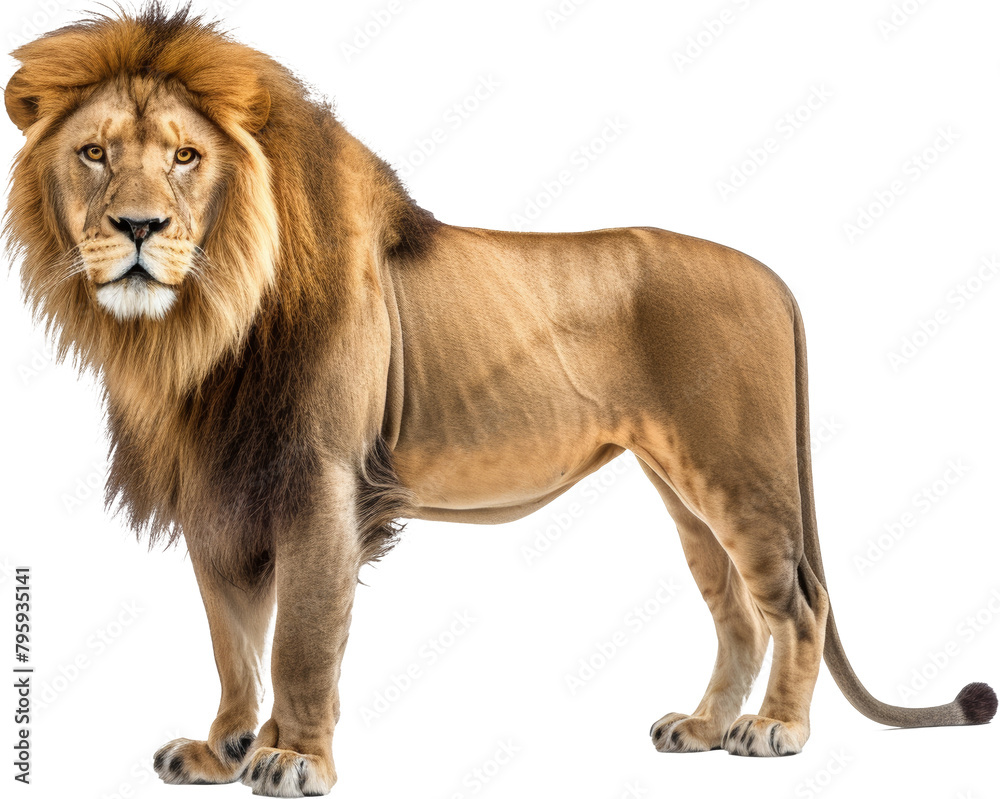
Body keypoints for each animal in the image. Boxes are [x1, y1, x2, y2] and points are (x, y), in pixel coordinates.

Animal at [3, 6, 995, 797]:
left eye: (186, 156)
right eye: (93, 153)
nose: (138, 228)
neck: (201, 330)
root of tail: (773, 275)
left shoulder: (322, 484)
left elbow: (302, 641)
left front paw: (293, 758)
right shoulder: (220, 492)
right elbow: (233, 639)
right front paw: (227, 746)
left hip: (738, 470)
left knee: (796, 602)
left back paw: (777, 729)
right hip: (683, 486)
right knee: (737, 612)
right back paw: (704, 727)